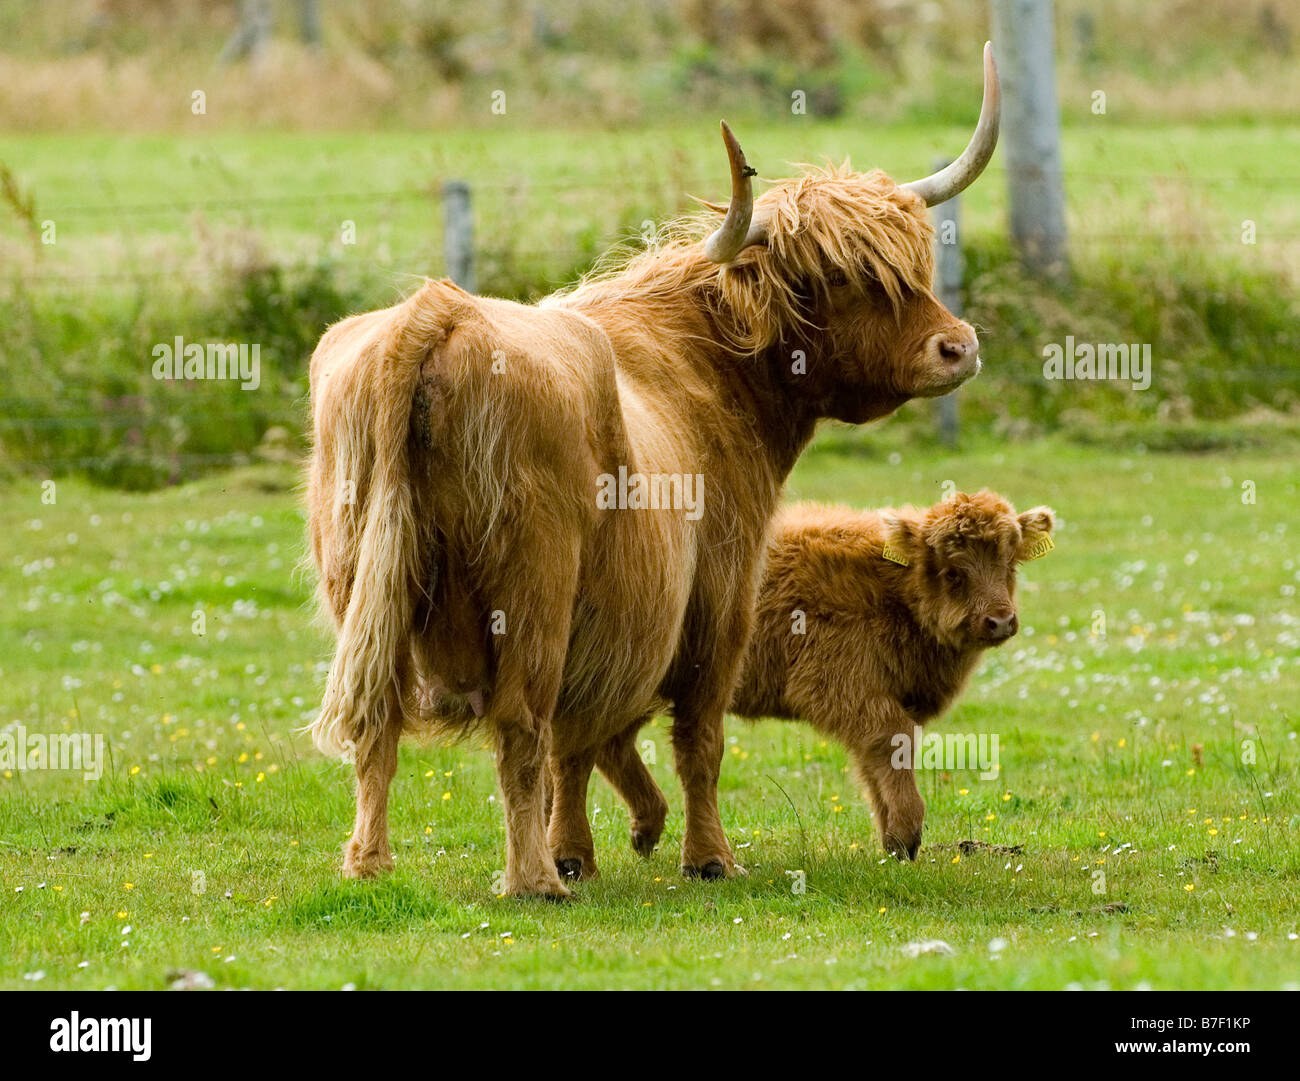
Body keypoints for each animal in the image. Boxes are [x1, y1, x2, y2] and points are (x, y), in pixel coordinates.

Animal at [306, 45, 1000, 898]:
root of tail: (438, 314)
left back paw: (371, 863)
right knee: (517, 723)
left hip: (363, 582)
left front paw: (582, 846)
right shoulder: (721, 593)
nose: (958, 347)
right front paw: (707, 856)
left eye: (916, 264)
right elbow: (695, 737)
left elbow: (579, 743)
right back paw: (534, 879)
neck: (709, 360)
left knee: (379, 725)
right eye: (839, 276)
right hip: (533, 586)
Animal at [569, 491, 1055, 872]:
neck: (890, 586)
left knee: (610, 744)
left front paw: (892, 841)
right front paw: (906, 834)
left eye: (1010, 565)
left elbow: (879, 759)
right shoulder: (845, 689)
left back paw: (644, 832)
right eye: (953, 571)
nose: (1000, 621)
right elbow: (891, 740)